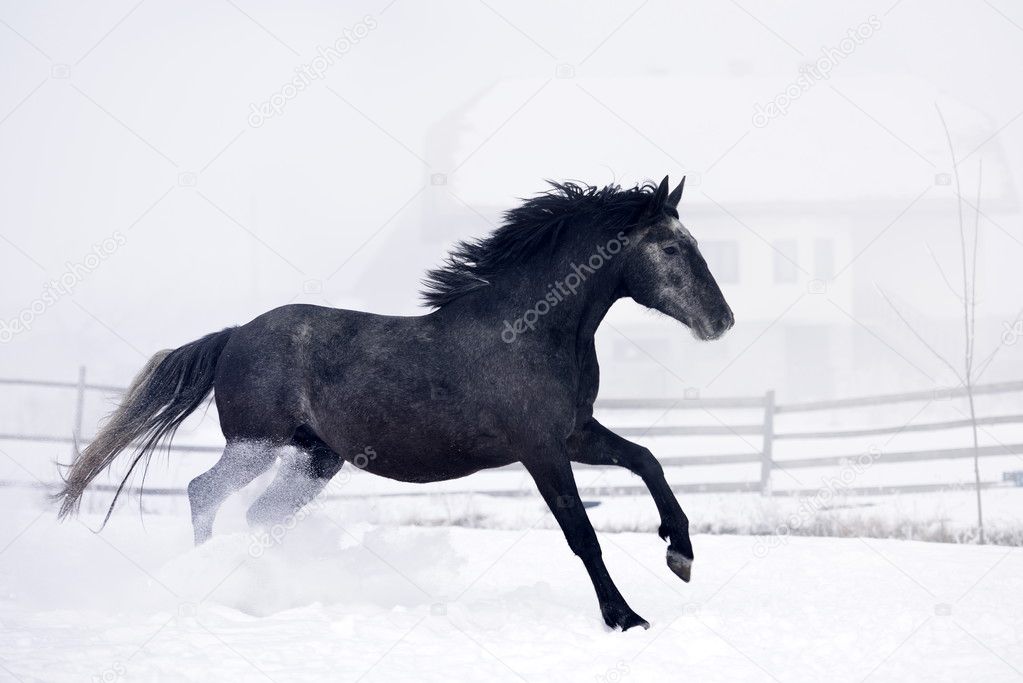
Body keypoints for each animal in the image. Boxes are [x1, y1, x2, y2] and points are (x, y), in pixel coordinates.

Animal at [57, 175, 733, 630]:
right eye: (671, 248)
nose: (722, 321)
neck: (531, 329)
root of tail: (234, 335)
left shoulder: (575, 435)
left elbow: (647, 460)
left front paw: (680, 554)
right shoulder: (541, 450)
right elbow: (583, 535)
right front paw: (626, 617)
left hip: (316, 459)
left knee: (261, 515)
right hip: (256, 444)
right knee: (205, 492)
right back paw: (205, 586)